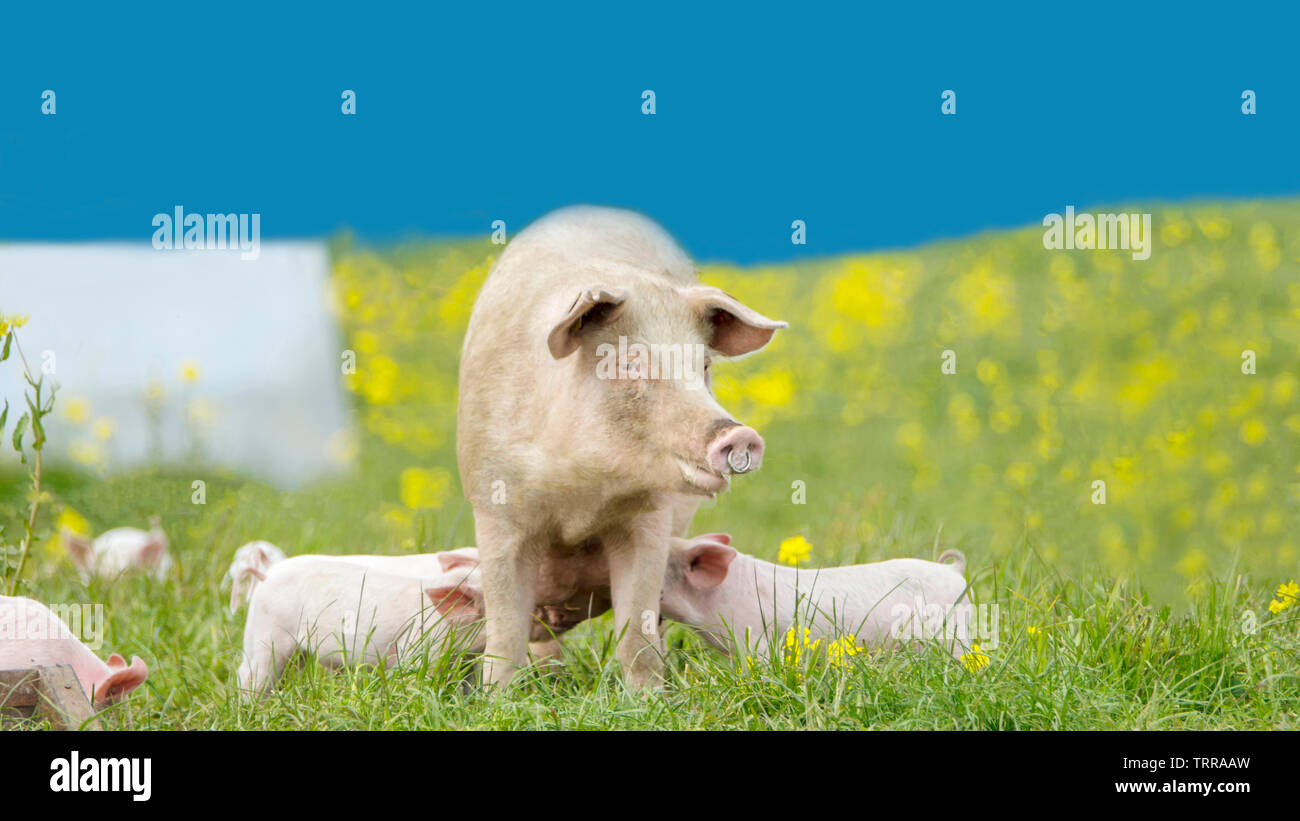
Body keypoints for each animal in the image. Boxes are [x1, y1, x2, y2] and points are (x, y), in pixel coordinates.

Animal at [457, 206, 786, 689]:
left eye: (704, 365)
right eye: (629, 363)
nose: (738, 434)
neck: (580, 500)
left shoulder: (650, 518)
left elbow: (637, 629)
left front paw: (648, 697)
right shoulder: (496, 507)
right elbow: (505, 629)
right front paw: (497, 697)